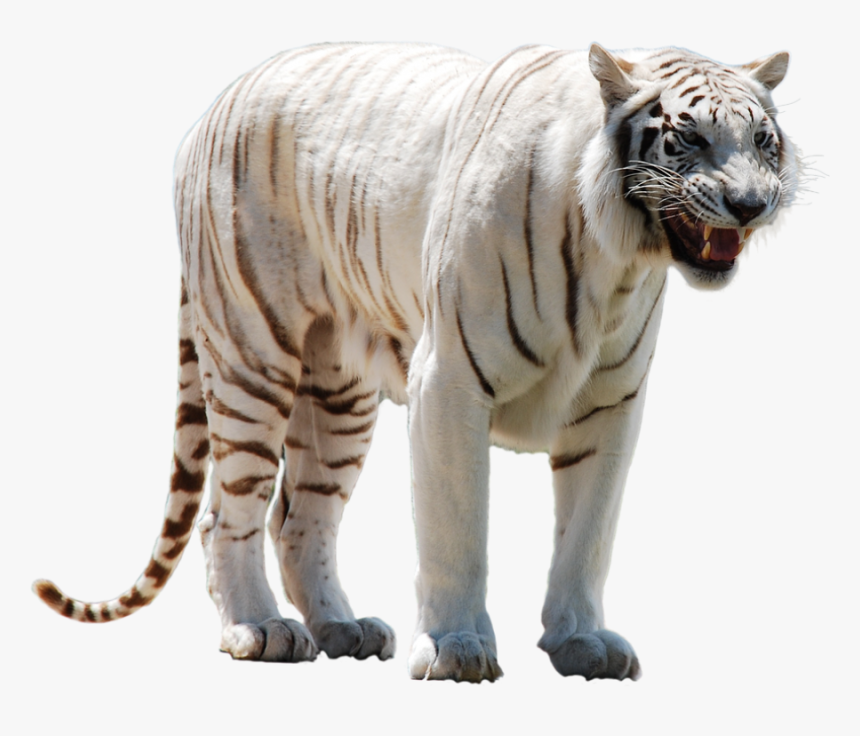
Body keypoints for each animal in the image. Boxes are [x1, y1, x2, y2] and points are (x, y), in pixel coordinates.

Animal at [33, 42, 799, 683]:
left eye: (763, 140)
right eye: (689, 136)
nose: (750, 204)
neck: (617, 257)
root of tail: (220, 100)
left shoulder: (611, 406)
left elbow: (588, 534)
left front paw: (582, 641)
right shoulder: (450, 383)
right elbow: (458, 528)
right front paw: (457, 649)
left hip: (338, 397)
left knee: (299, 520)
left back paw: (343, 629)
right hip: (252, 353)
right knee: (227, 514)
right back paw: (259, 629)